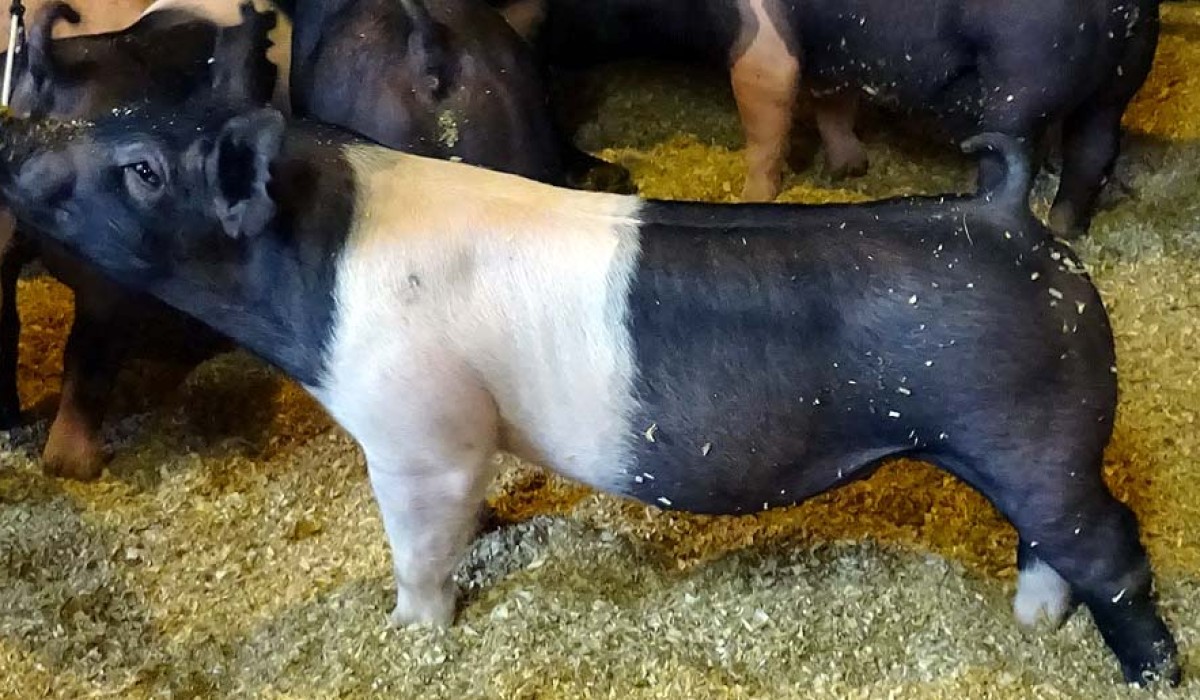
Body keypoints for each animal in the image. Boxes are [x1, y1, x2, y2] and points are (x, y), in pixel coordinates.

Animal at [0, 104, 1180, 686]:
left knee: (1110, 543)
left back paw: (1151, 673)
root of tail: (1006, 213)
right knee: (1054, 545)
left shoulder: (418, 429)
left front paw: (412, 635)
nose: (16, 140)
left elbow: (421, 544)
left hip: (1035, 428)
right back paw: (1032, 627)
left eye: (143, 168)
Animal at [492, 0, 1162, 237]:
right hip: (1122, 80)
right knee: (1095, 152)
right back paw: (1069, 228)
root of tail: (1120, 10)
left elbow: (766, 114)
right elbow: (832, 102)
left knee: (1012, 151)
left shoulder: (763, 42)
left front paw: (752, 197)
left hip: (1022, 78)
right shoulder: (836, 49)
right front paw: (847, 169)